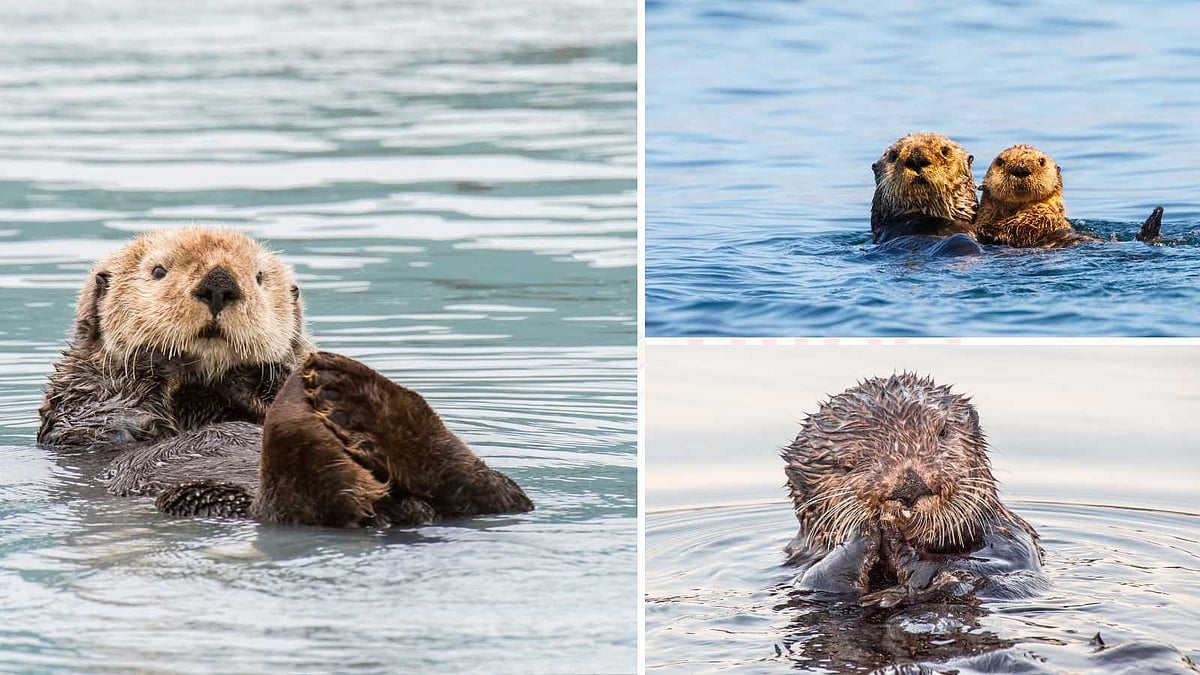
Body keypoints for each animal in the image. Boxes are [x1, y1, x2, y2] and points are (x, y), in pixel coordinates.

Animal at [38, 228, 533, 526]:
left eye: (258, 277)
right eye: (158, 271)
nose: (220, 283)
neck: (204, 394)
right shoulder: (78, 401)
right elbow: (108, 418)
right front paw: (159, 360)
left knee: (496, 494)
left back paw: (356, 396)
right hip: (204, 496)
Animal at [782, 374, 1044, 607]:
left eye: (943, 431)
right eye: (847, 465)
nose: (910, 486)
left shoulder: (1012, 538)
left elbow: (993, 565)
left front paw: (893, 539)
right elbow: (819, 579)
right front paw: (865, 532)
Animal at [976, 144, 1165, 248]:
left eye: (1041, 161)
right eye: (1000, 161)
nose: (1021, 169)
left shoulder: (1044, 217)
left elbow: (1022, 228)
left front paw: (989, 230)